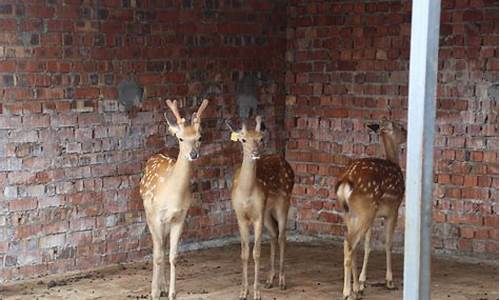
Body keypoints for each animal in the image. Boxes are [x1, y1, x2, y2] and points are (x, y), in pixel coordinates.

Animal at [141, 99, 209, 300]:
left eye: (199, 137)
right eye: (180, 138)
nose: (193, 154)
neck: (172, 195)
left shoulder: (180, 217)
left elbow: (173, 255)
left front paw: (171, 292)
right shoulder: (156, 215)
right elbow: (157, 255)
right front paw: (154, 292)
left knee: (162, 247)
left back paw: (163, 286)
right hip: (149, 213)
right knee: (156, 248)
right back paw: (157, 287)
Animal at [228, 116, 294, 298]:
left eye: (261, 139)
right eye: (243, 140)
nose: (255, 153)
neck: (246, 193)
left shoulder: (257, 215)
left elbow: (256, 253)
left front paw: (256, 293)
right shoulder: (240, 216)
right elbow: (244, 253)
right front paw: (243, 292)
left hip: (284, 201)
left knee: (282, 236)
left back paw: (282, 281)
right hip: (268, 211)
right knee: (273, 233)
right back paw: (270, 280)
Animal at [336, 119, 406, 300]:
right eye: (401, 127)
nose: (407, 133)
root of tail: (346, 181)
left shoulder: (375, 215)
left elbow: (368, 245)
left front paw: (361, 282)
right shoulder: (393, 209)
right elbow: (388, 243)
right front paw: (389, 281)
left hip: (351, 213)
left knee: (352, 244)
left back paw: (355, 290)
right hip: (365, 209)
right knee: (349, 242)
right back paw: (347, 292)